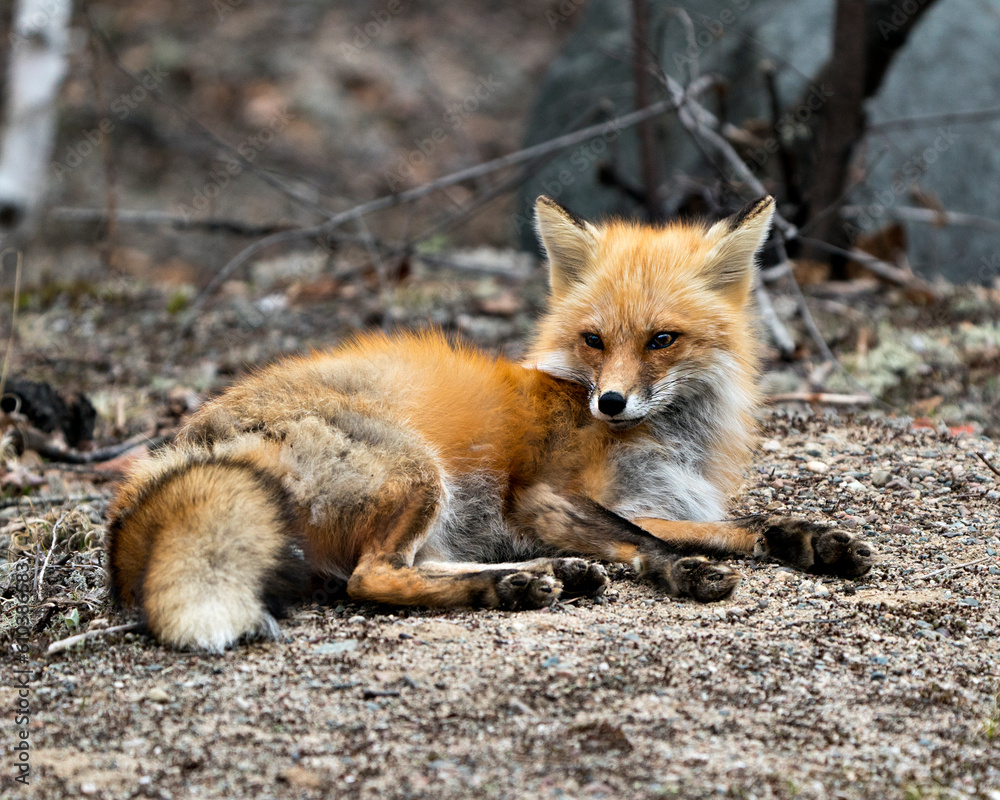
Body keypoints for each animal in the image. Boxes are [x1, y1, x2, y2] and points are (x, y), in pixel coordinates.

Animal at [107, 194, 874, 652]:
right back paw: (512, 586)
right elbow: (647, 541)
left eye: (662, 340)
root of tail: (177, 453)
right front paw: (685, 572)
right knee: (372, 579)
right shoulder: (541, 496)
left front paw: (808, 540)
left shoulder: (637, 499)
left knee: (411, 564)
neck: (664, 438)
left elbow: (735, 526)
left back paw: (546, 572)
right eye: (595, 341)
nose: (610, 403)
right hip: (418, 471)